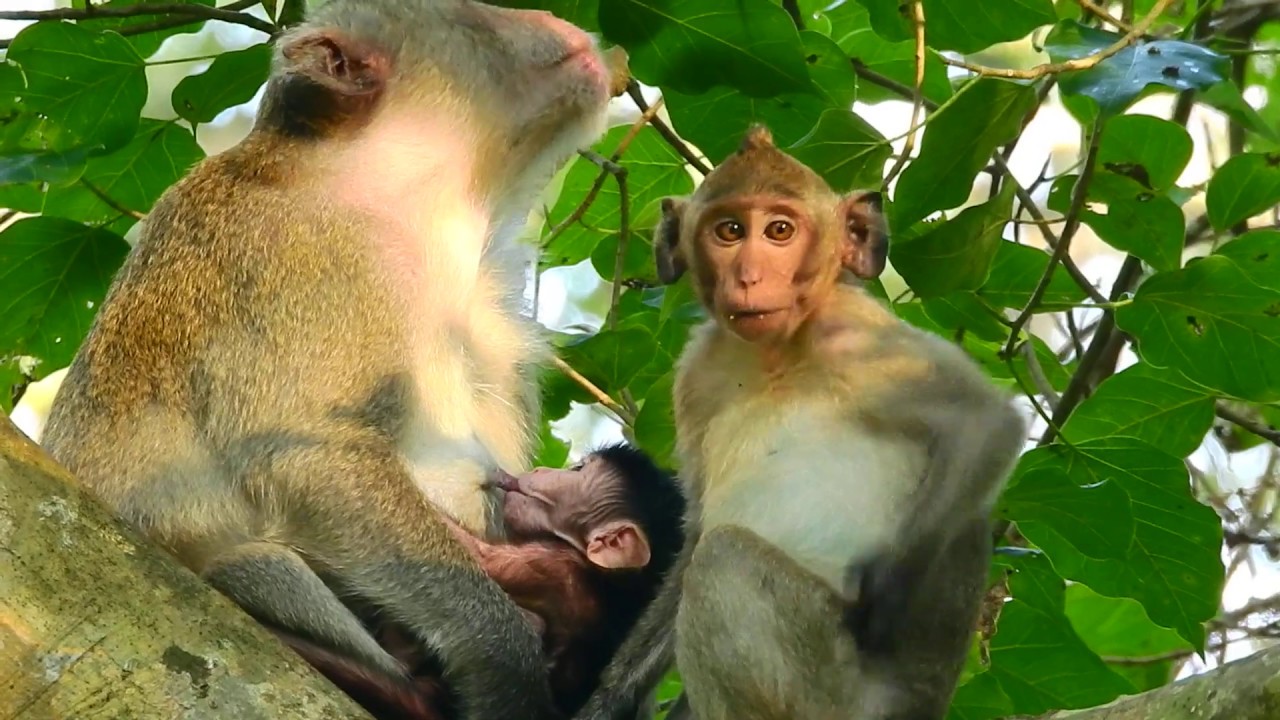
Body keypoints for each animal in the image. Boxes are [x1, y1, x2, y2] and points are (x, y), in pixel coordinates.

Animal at [39, 3, 628, 719]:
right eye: (482, 13)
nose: (549, 17)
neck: (416, 200)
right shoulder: (301, 254)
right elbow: (304, 455)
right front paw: (505, 657)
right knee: (252, 562)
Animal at [578, 124, 1026, 720]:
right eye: (729, 231)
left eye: (780, 231)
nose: (749, 276)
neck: (776, 354)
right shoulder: (695, 376)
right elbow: (693, 532)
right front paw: (607, 699)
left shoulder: (856, 335)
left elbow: (985, 423)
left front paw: (883, 606)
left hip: (828, 690)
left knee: (723, 559)